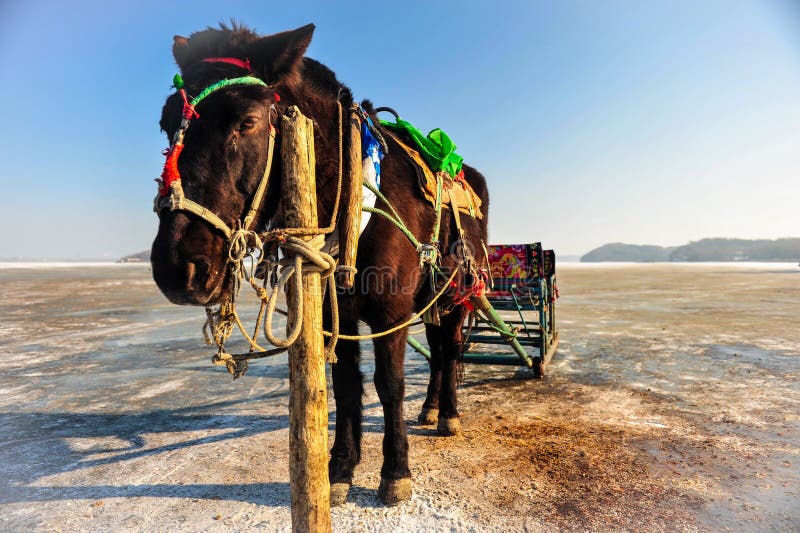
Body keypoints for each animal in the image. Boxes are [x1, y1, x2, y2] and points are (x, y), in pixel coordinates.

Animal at [150, 23, 489, 505]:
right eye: (166, 124)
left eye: (246, 122)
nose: (176, 267)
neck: (352, 198)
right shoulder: (338, 311)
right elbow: (346, 385)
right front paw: (341, 468)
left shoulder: (391, 311)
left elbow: (389, 384)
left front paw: (395, 471)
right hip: (432, 297)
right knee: (441, 351)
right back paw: (430, 408)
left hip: (458, 293)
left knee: (450, 347)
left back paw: (448, 414)